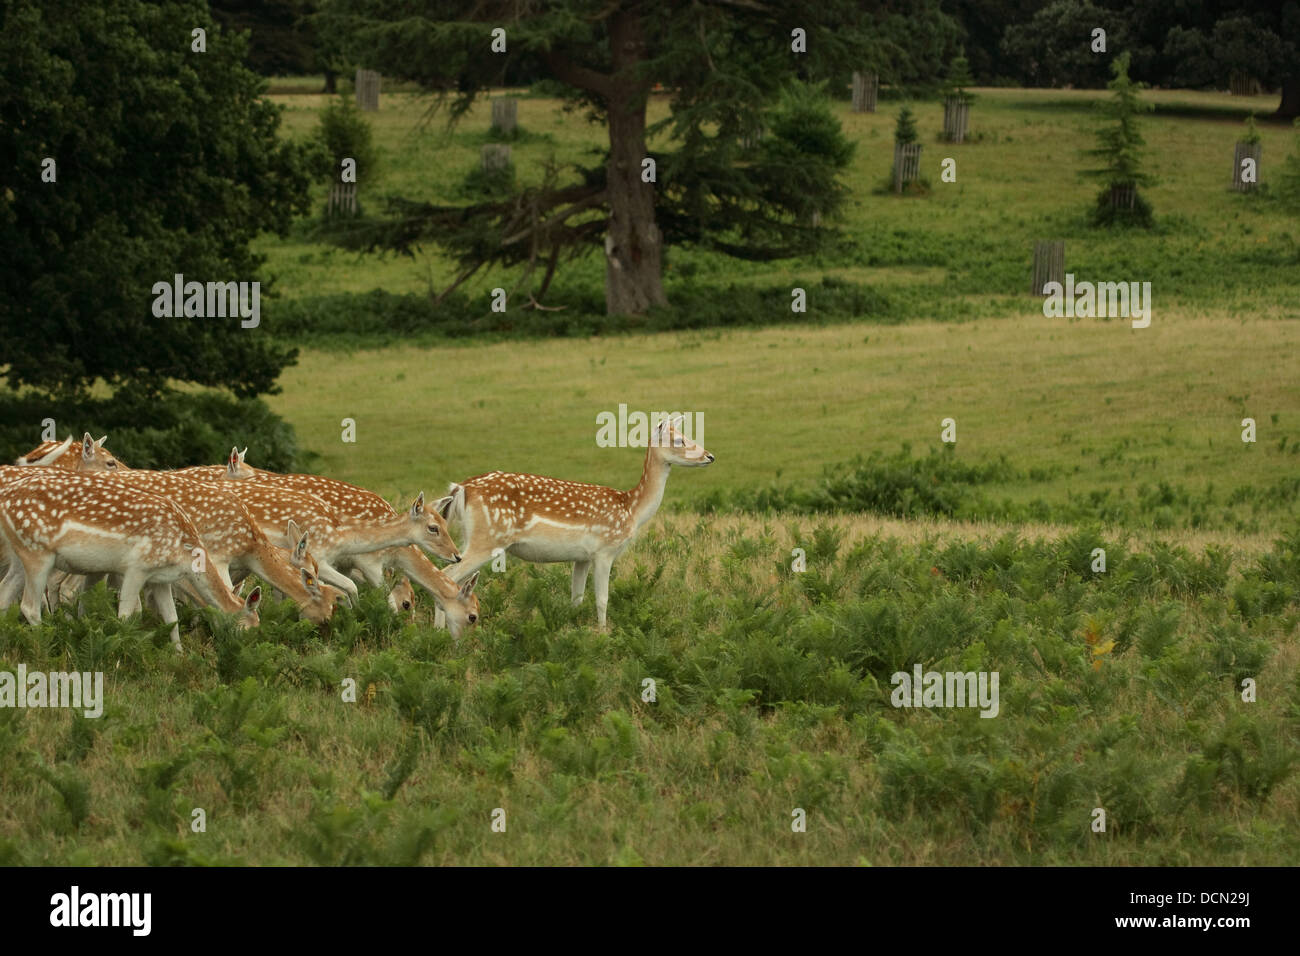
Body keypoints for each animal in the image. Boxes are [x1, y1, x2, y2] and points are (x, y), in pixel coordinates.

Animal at [0, 470, 260, 649]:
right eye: (248, 628)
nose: (237, 650)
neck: (185, 552)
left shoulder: (161, 578)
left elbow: (172, 617)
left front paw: (179, 655)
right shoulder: (136, 567)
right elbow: (125, 615)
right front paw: (122, 653)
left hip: (20, 552)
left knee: (5, 594)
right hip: (37, 552)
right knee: (29, 606)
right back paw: (45, 646)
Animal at [438, 416, 713, 630]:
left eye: (686, 434)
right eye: (679, 440)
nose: (710, 456)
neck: (631, 509)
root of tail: (461, 489)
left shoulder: (582, 557)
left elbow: (577, 597)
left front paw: (573, 628)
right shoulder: (604, 550)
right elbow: (602, 598)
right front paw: (603, 634)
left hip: (472, 536)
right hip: (487, 538)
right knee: (446, 575)